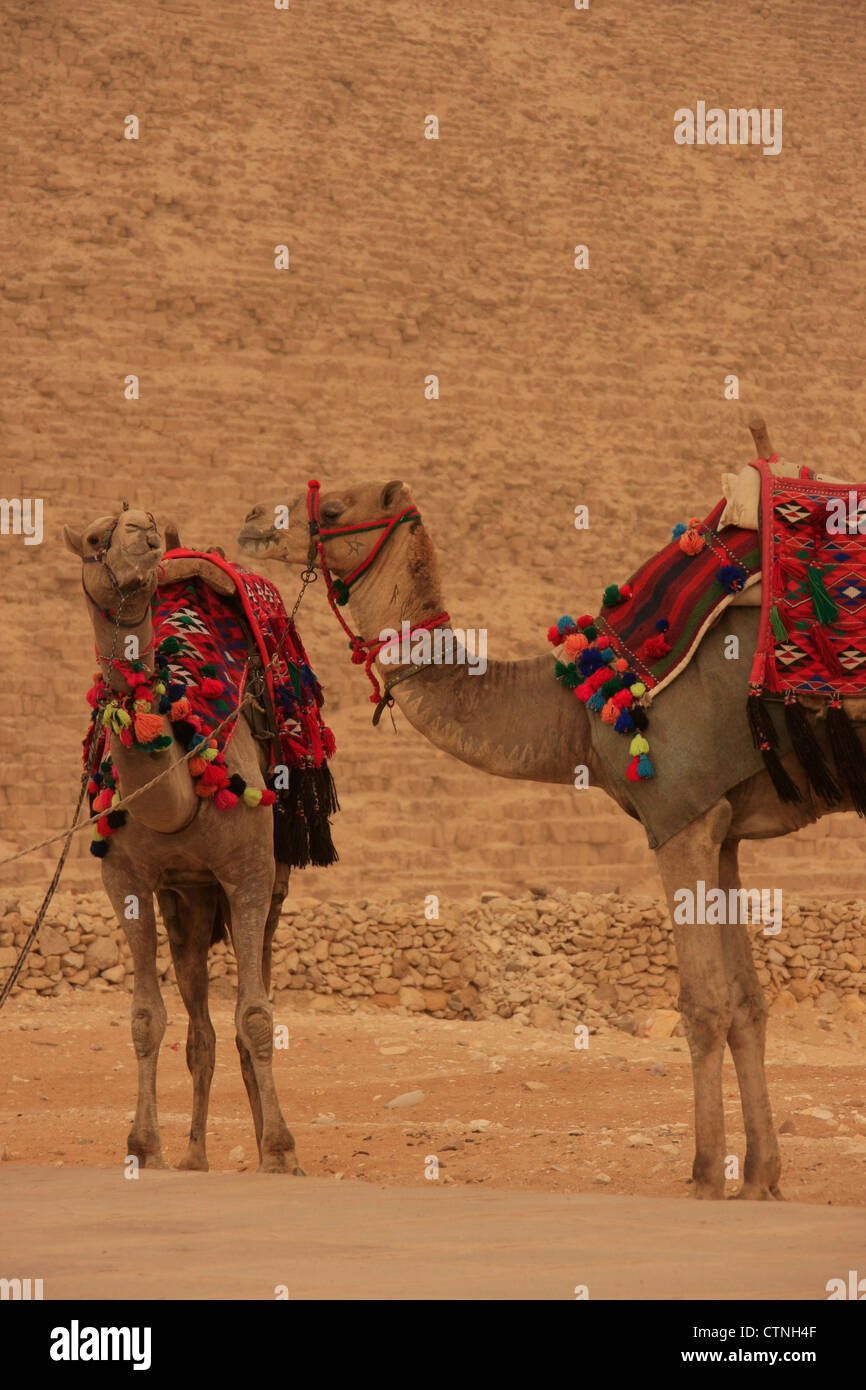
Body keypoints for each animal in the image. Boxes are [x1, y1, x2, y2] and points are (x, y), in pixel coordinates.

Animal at [64, 509, 301, 1174]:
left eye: (134, 522)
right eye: (94, 539)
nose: (142, 529)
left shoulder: (249, 871)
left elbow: (257, 1016)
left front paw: (280, 1149)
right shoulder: (125, 878)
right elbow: (147, 1017)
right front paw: (145, 1147)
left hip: (270, 883)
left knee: (252, 991)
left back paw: (263, 1138)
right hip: (187, 901)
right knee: (200, 1026)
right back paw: (195, 1153)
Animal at [237, 463, 863, 1201]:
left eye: (333, 507)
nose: (252, 519)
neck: (577, 703)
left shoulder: (679, 819)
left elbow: (704, 1005)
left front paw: (707, 1175)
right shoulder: (723, 828)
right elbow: (746, 1004)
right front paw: (761, 1178)